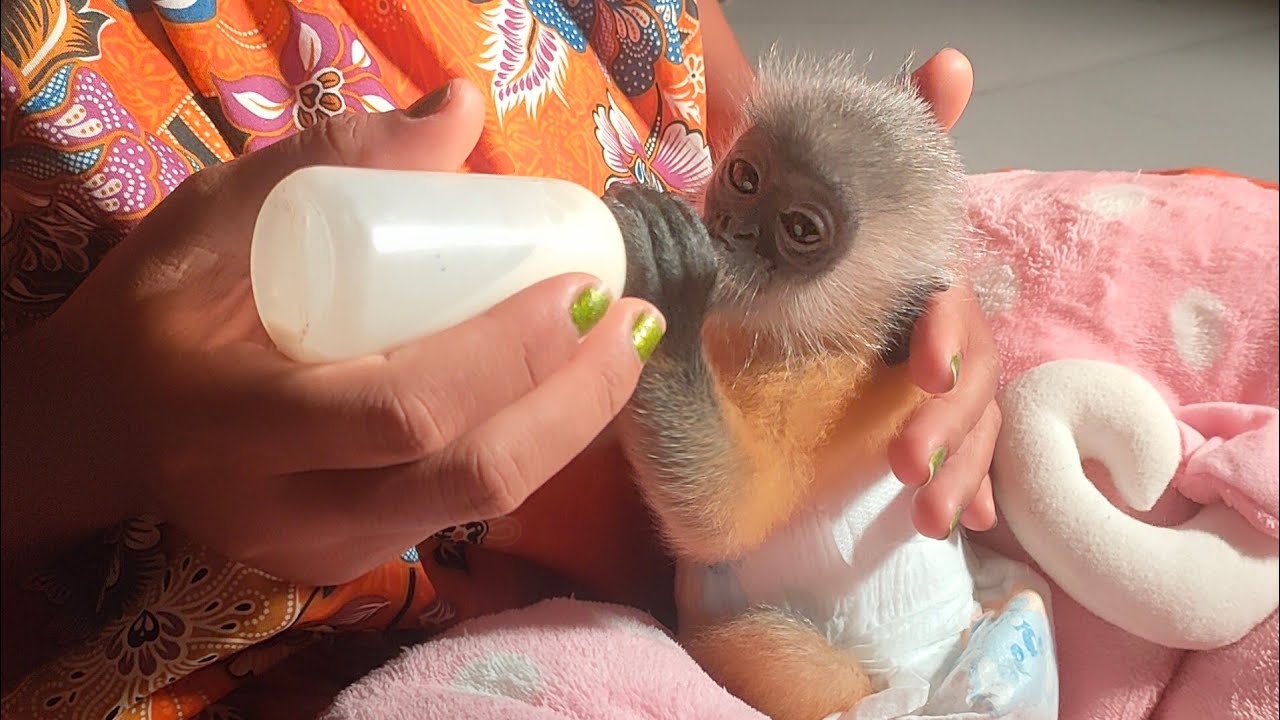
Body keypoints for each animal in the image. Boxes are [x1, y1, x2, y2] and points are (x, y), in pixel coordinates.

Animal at [603, 53, 1056, 720]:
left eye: (797, 227)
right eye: (744, 176)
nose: (731, 231)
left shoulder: (822, 378)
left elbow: (726, 516)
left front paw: (667, 295)